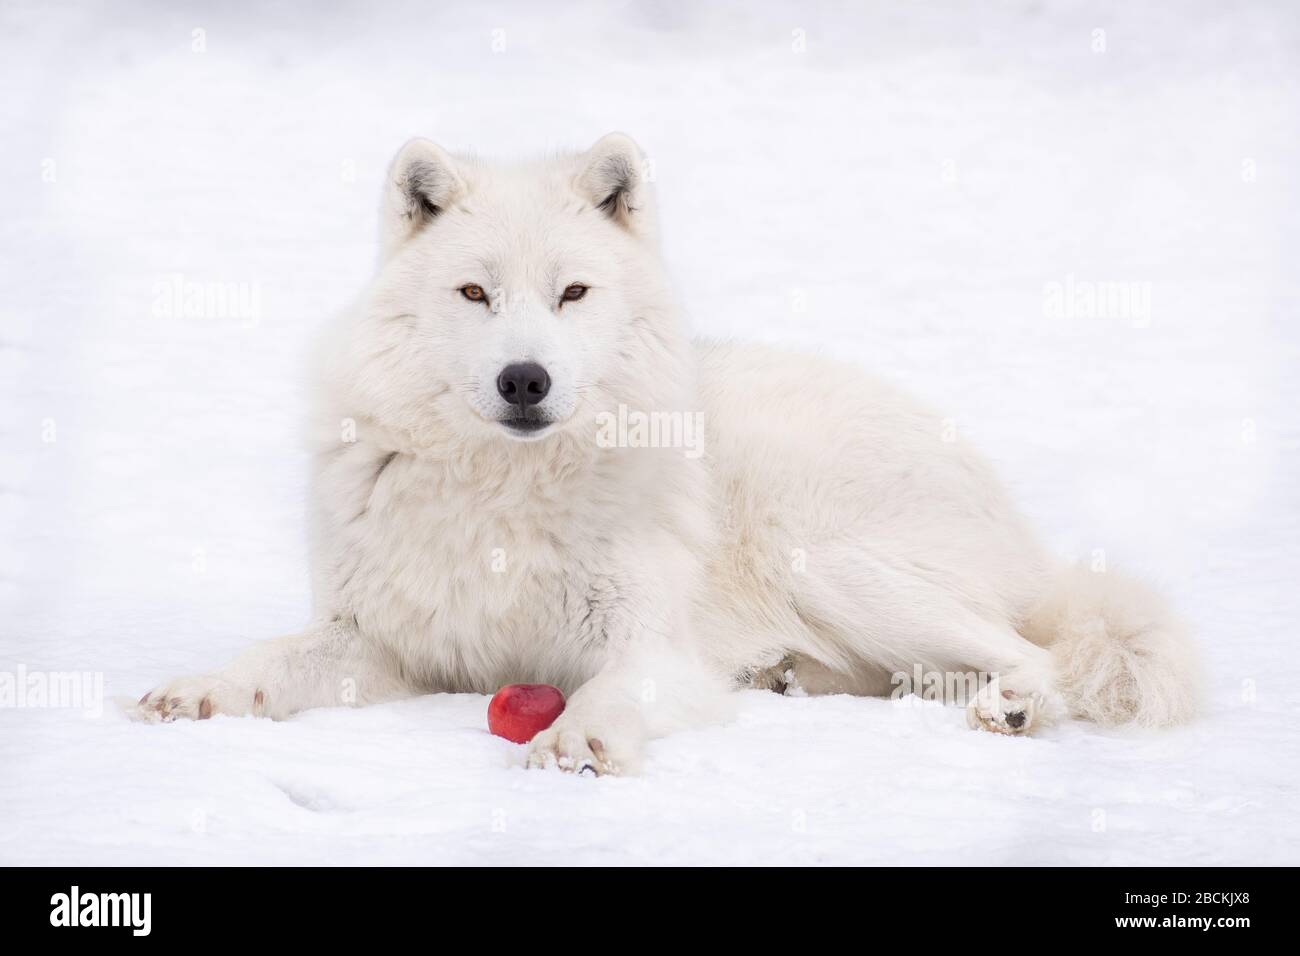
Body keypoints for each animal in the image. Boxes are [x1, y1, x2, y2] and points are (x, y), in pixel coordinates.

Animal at [138, 134, 1201, 774]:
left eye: (571, 293)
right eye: (476, 294)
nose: (525, 380)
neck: (505, 496)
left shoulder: (650, 645)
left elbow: (613, 689)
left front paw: (578, 738)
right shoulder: (383, 641)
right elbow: (271, 659)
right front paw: (198, 691)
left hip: (834, 564)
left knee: (1042, 652)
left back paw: (1009, 705)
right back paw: (800, 677)